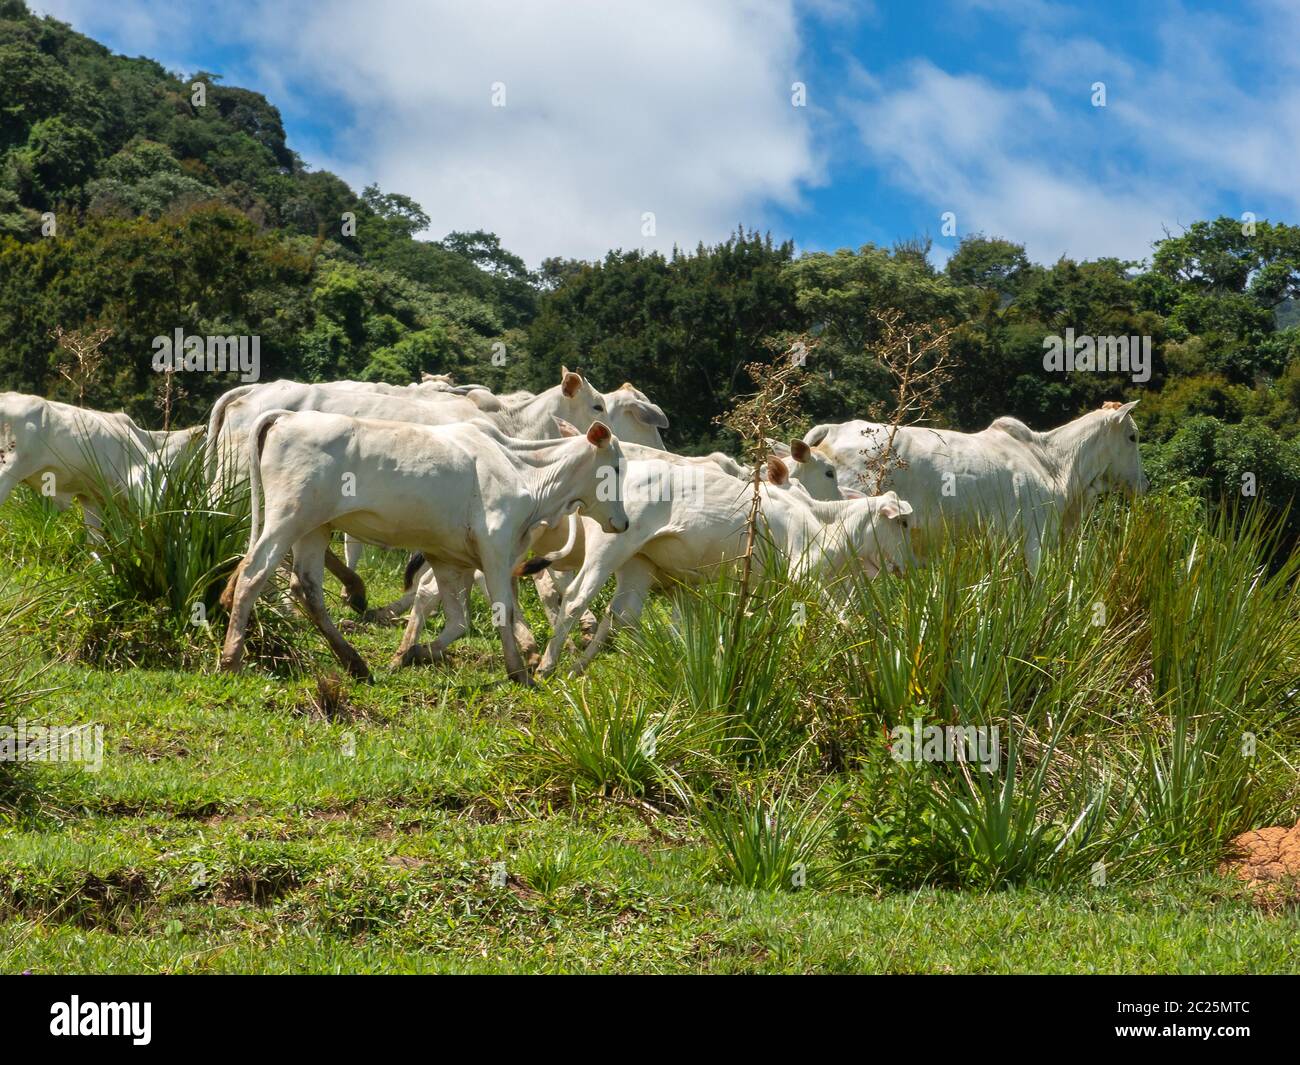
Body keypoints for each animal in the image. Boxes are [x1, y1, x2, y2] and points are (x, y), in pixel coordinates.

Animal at [218, 410, 628, 684]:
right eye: (616, 468)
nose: (623, 523)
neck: (523, 471)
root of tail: (287, 415)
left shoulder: (449, 559)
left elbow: (458, 621)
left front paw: (414, 653)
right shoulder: (496, 551)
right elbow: (503, 610)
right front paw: (519, 672)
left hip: (316, 528)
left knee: (307, 588)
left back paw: (356, 663)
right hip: (288, 517)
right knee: (254, 572)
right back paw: (231, 659)